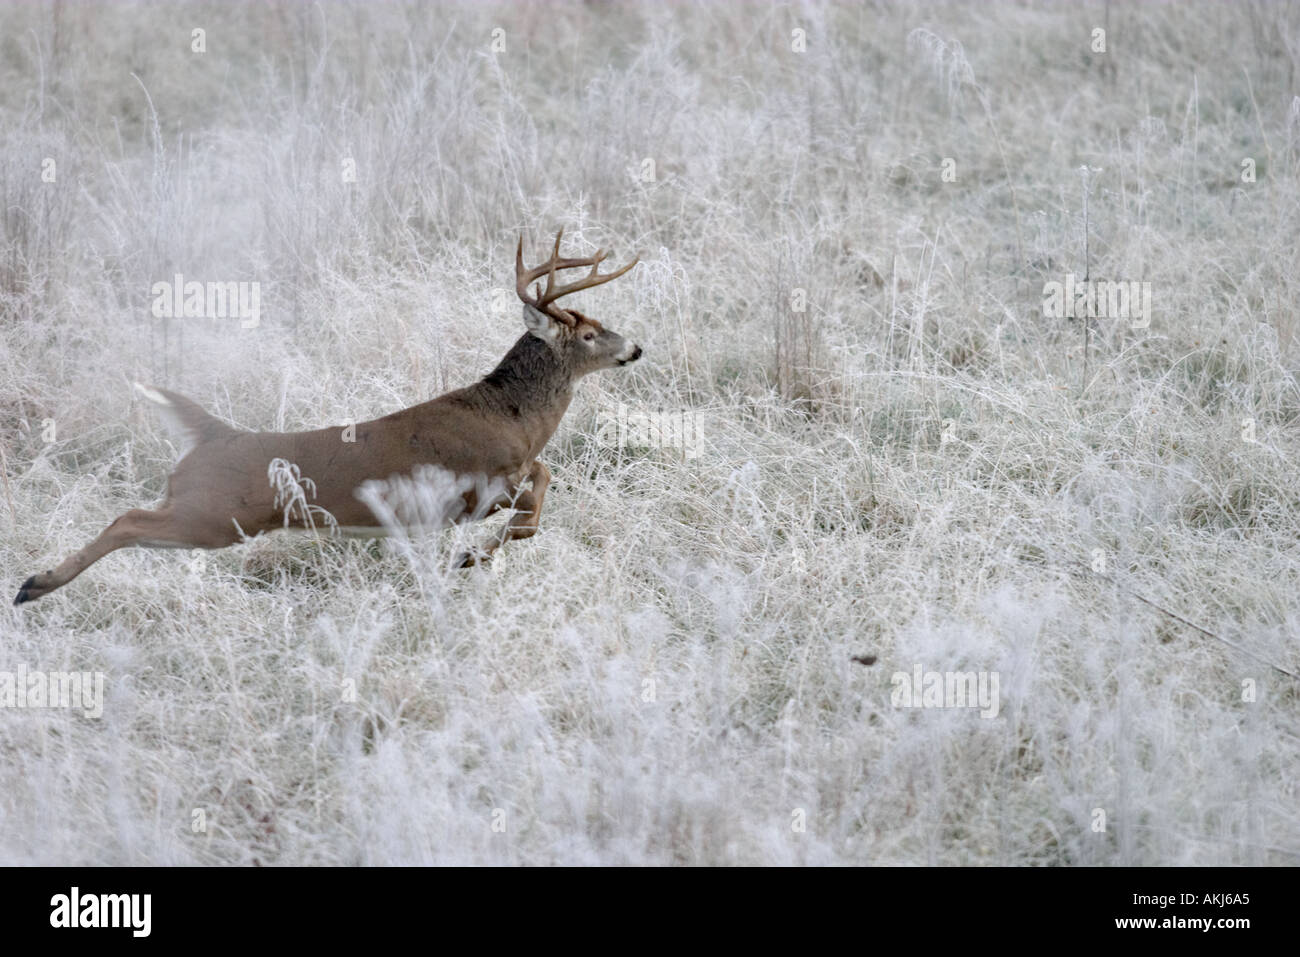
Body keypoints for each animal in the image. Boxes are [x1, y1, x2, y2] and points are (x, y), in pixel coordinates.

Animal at [14, 230, 641, 605]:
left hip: (201, 510)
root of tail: (215, 435)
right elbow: (536, 494)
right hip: (214, 515)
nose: (635, 347)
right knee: (126, 520)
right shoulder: (477, 483)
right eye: (589, 334)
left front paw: (473, 556)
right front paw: (472, 555)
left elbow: (540, 485)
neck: (514, 419)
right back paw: (33, 584)